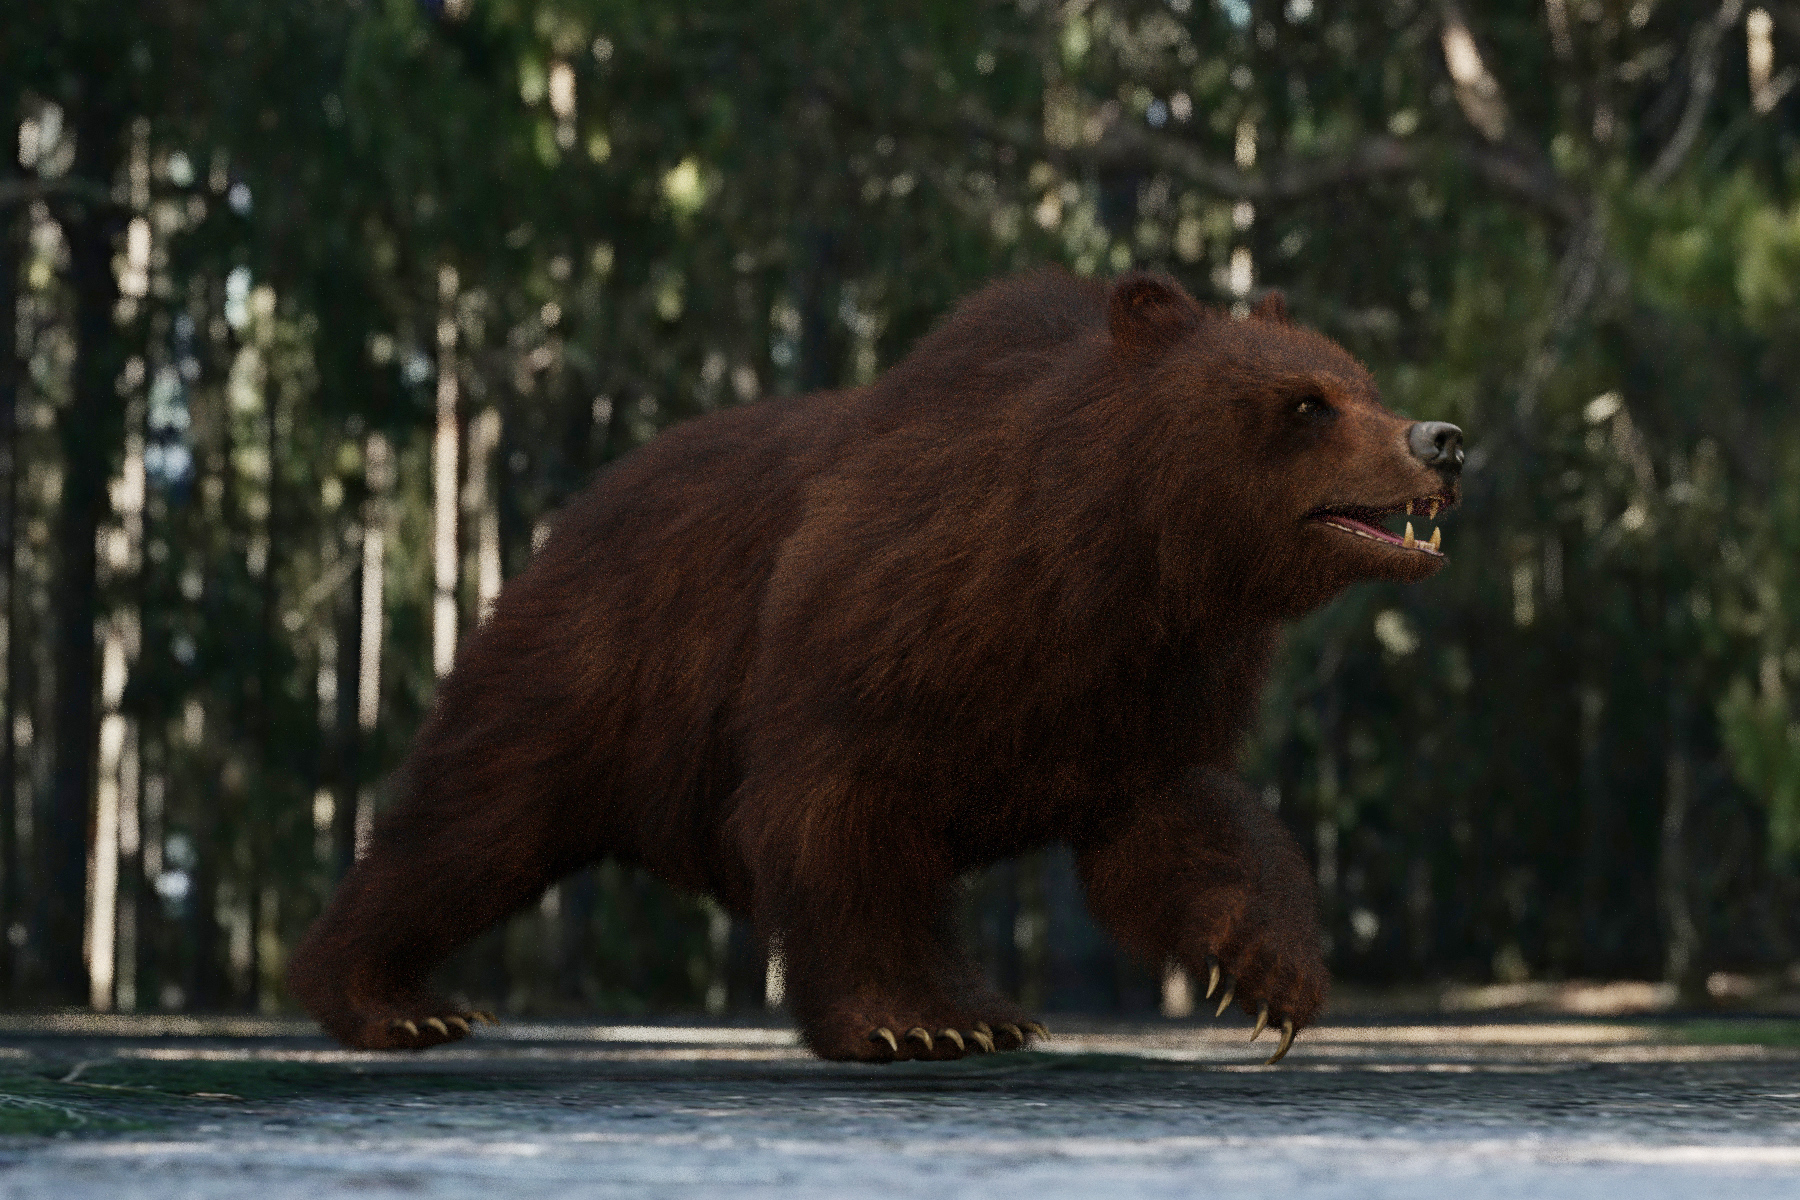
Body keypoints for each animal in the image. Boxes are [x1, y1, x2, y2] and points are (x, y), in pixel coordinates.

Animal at [286, 268, 1464, 1064]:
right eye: (1307, 401)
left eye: (1363, 382)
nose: (1440, 439)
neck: (1106, 565)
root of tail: (575, 511)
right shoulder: (881, 631)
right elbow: (837, 818)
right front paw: (922, 1019)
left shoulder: (1136, 693)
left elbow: (1185, 822)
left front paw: (1271, 974)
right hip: (596, 659)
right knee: (475, 820)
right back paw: (392, 1000)